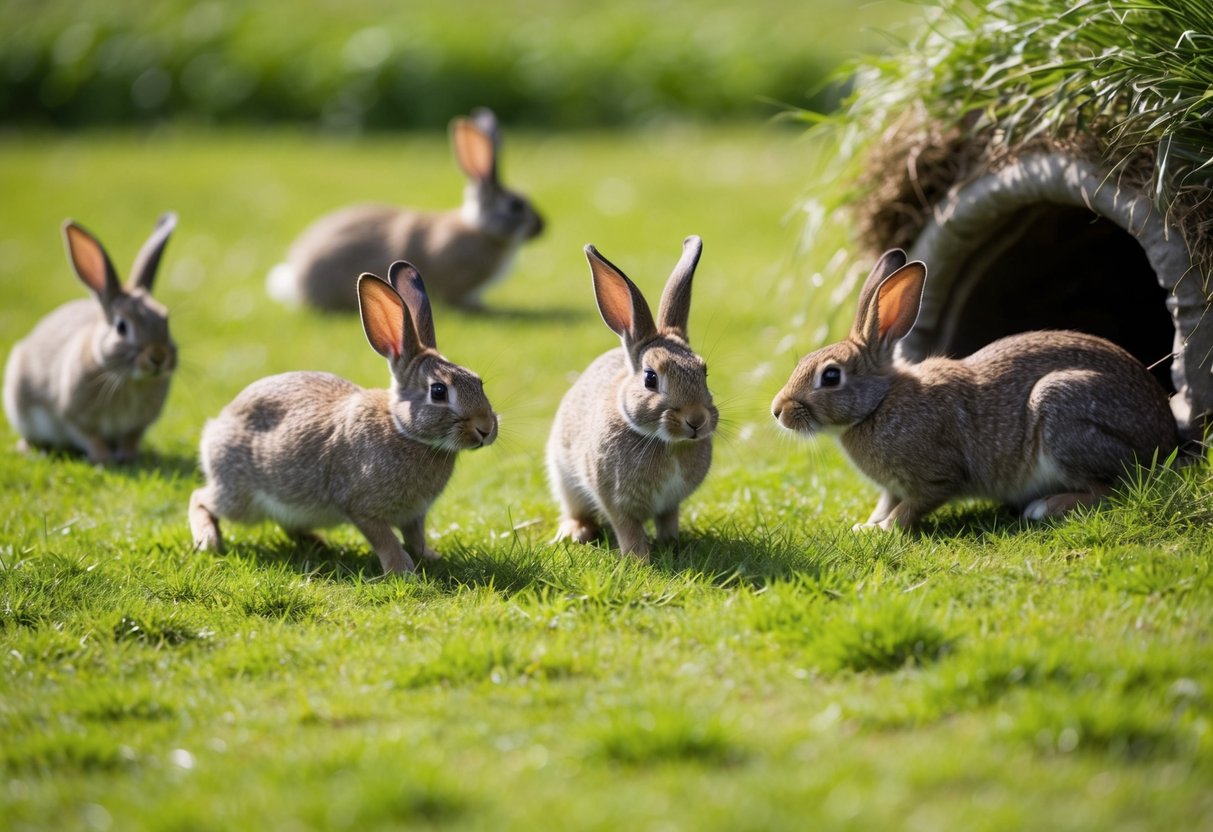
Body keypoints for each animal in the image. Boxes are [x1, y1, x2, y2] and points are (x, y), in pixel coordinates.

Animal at [3, 213, 178, 464]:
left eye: (165, 320)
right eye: (121, 327)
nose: (158, 357)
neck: (127, 379)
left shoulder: (138, 425)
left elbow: (130, 437)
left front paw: (128, 455)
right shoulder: (73, 417)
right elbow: (90, 436)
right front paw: (104, 458)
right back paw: (26, 448)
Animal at [189, 260, 498, 574]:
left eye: (479, 382)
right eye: (438, 391)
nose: (485, 429)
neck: (403, 430)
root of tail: (216, 427)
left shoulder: (414, 515)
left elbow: (416, 536)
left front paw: (431, 557)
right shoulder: (361, 508)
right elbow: (385, 539)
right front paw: (402, 570)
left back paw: (316, 542)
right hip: (240, 496)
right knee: (201, 498)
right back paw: (208, 541)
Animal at [546, 236, 717, 561]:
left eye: (704, 372)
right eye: (650, 378)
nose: (697, 420)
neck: (666, 442)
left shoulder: (670, 504)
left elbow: (668, 520)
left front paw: (671, 544)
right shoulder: (615, 501)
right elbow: (627, 528)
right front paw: (639, 559)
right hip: (564, 478)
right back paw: (576, 532)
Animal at [771, 249, 1181, 530]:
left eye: (830, 376)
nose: (778, 410)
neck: (879, 403)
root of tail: (1165, 437)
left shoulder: (936, 477)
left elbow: (909, 508)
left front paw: (882, 530)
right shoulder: (892, 486)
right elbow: (886, 502)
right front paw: (866, 525)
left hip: (1063, 412)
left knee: (1115, 487)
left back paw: (1045, 506)